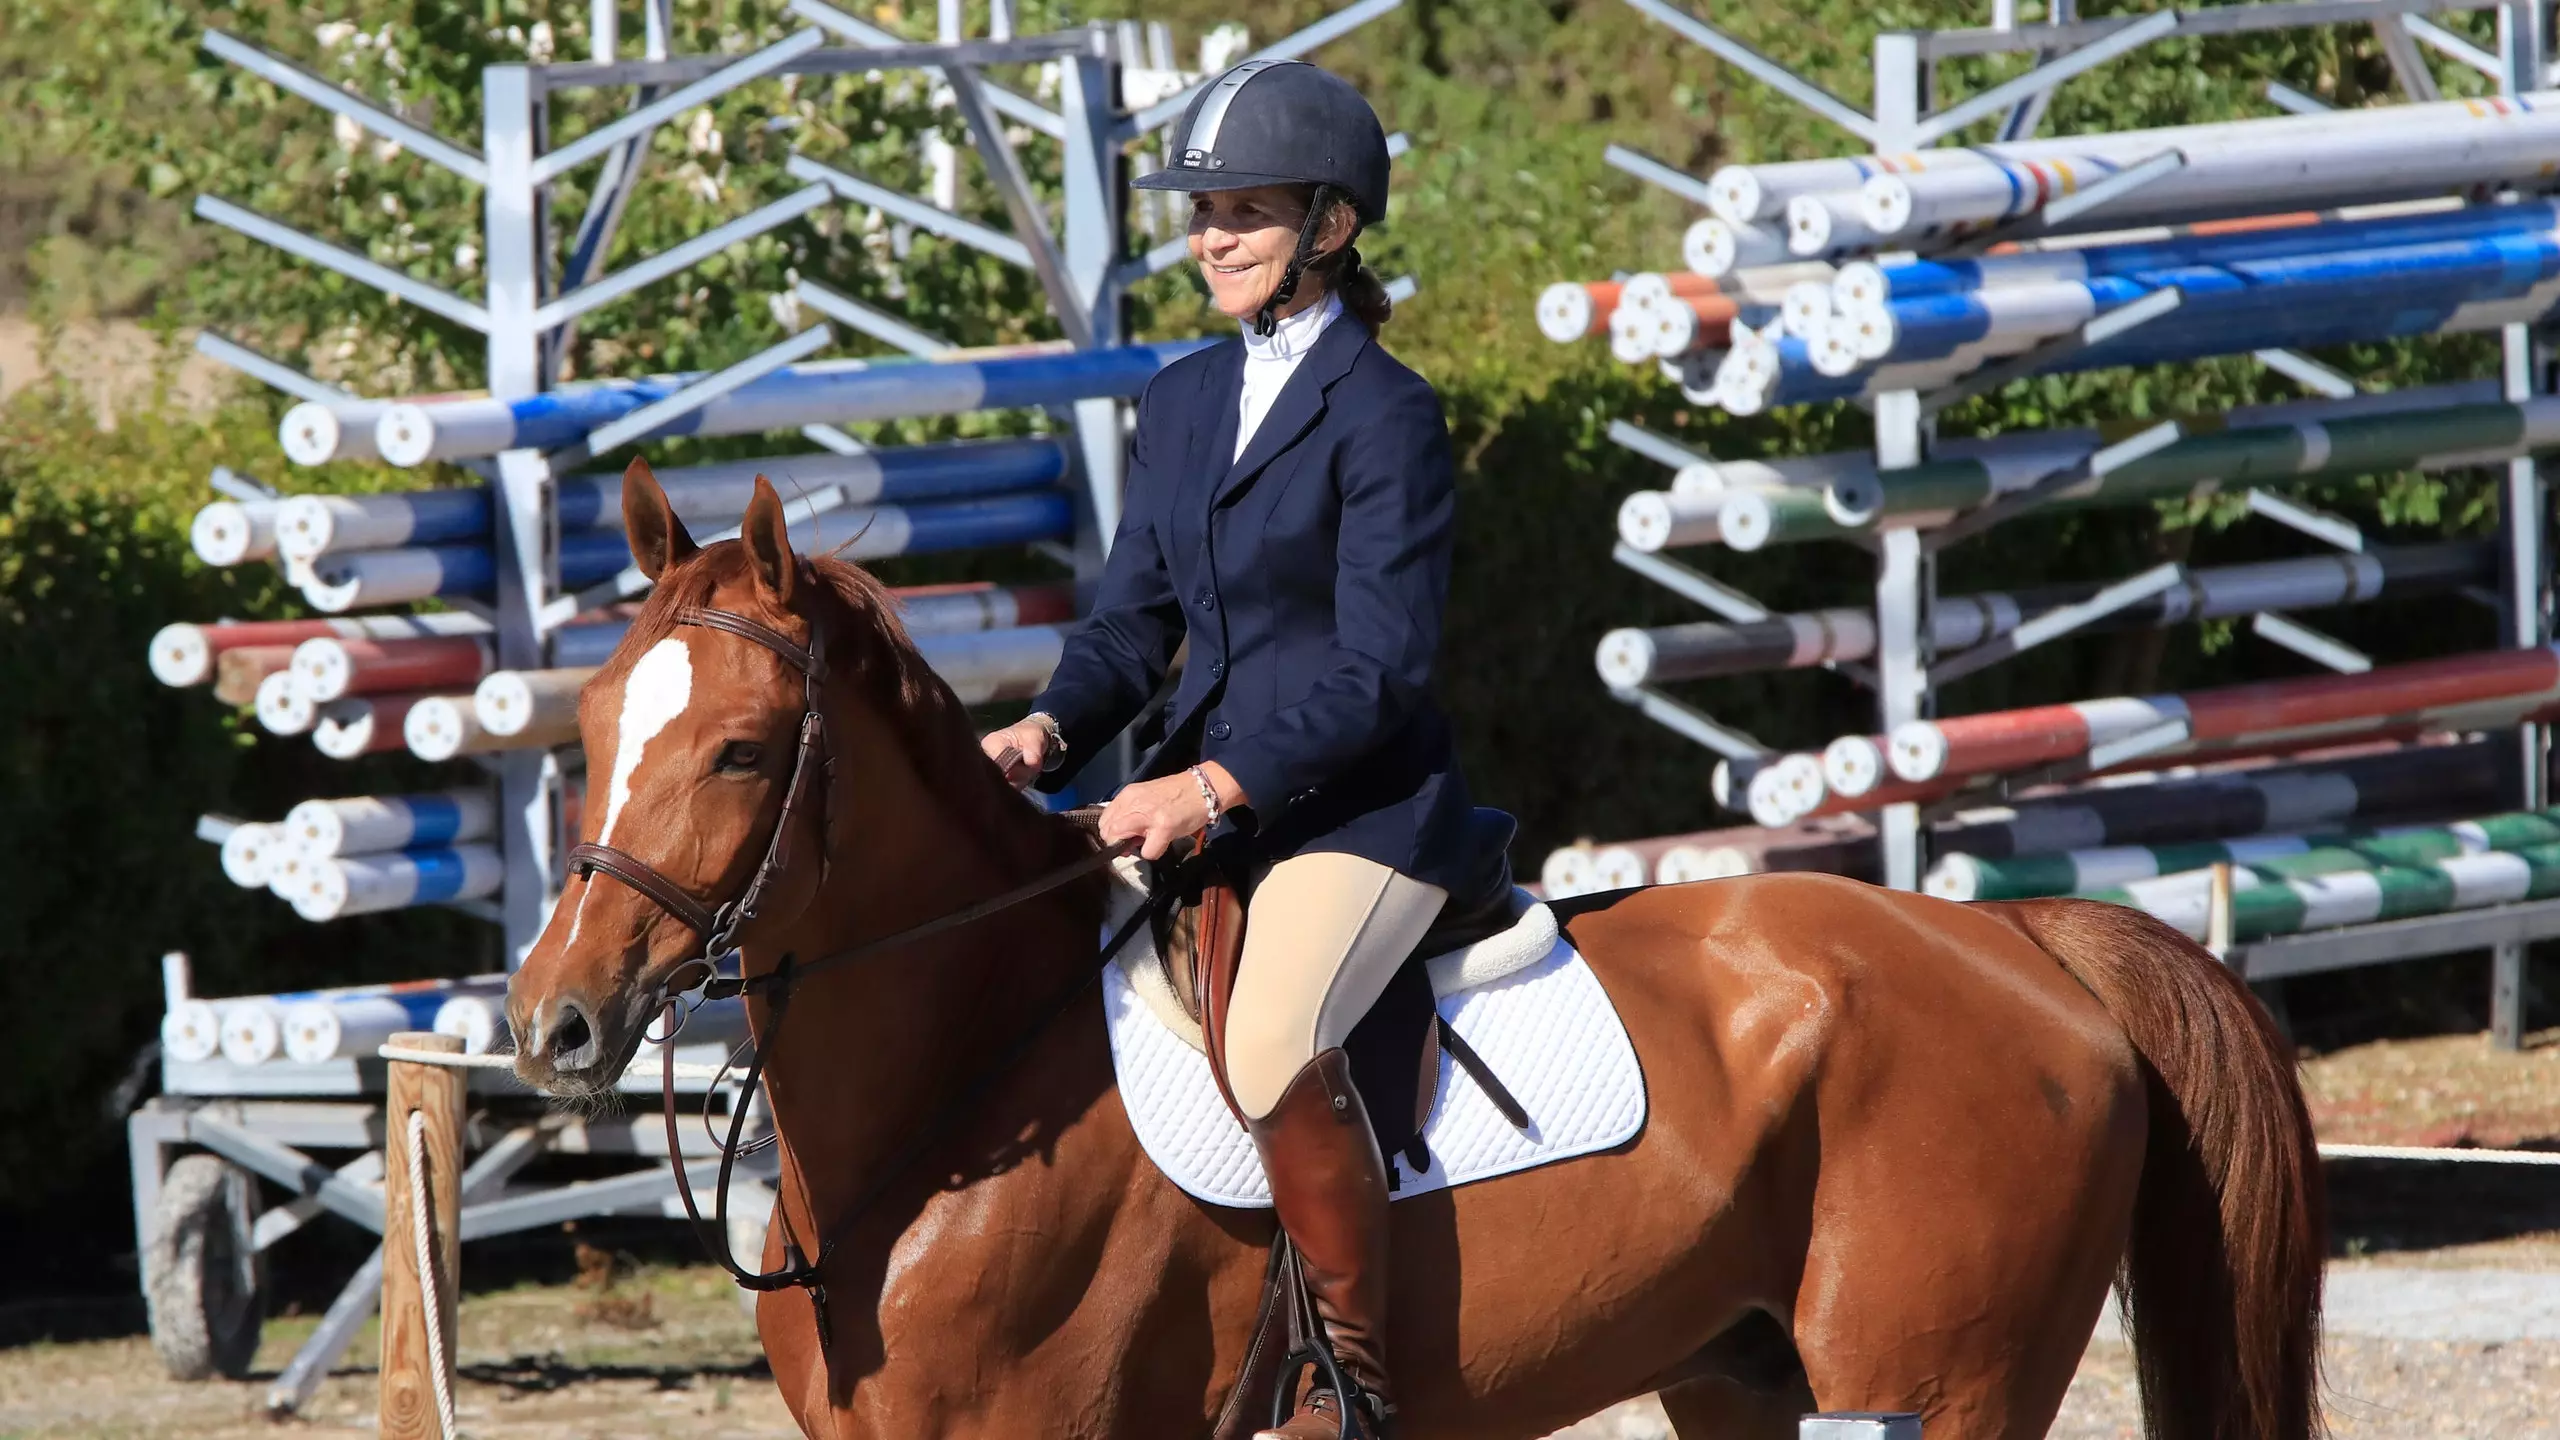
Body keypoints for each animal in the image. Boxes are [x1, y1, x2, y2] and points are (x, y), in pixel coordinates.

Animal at [504, 466, 2324, 1424]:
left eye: (743, 752)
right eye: (588, 730)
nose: (554, 1025)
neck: (950, 1116)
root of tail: (2022, 945)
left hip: (1931, 1388)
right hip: (1741, 1367)